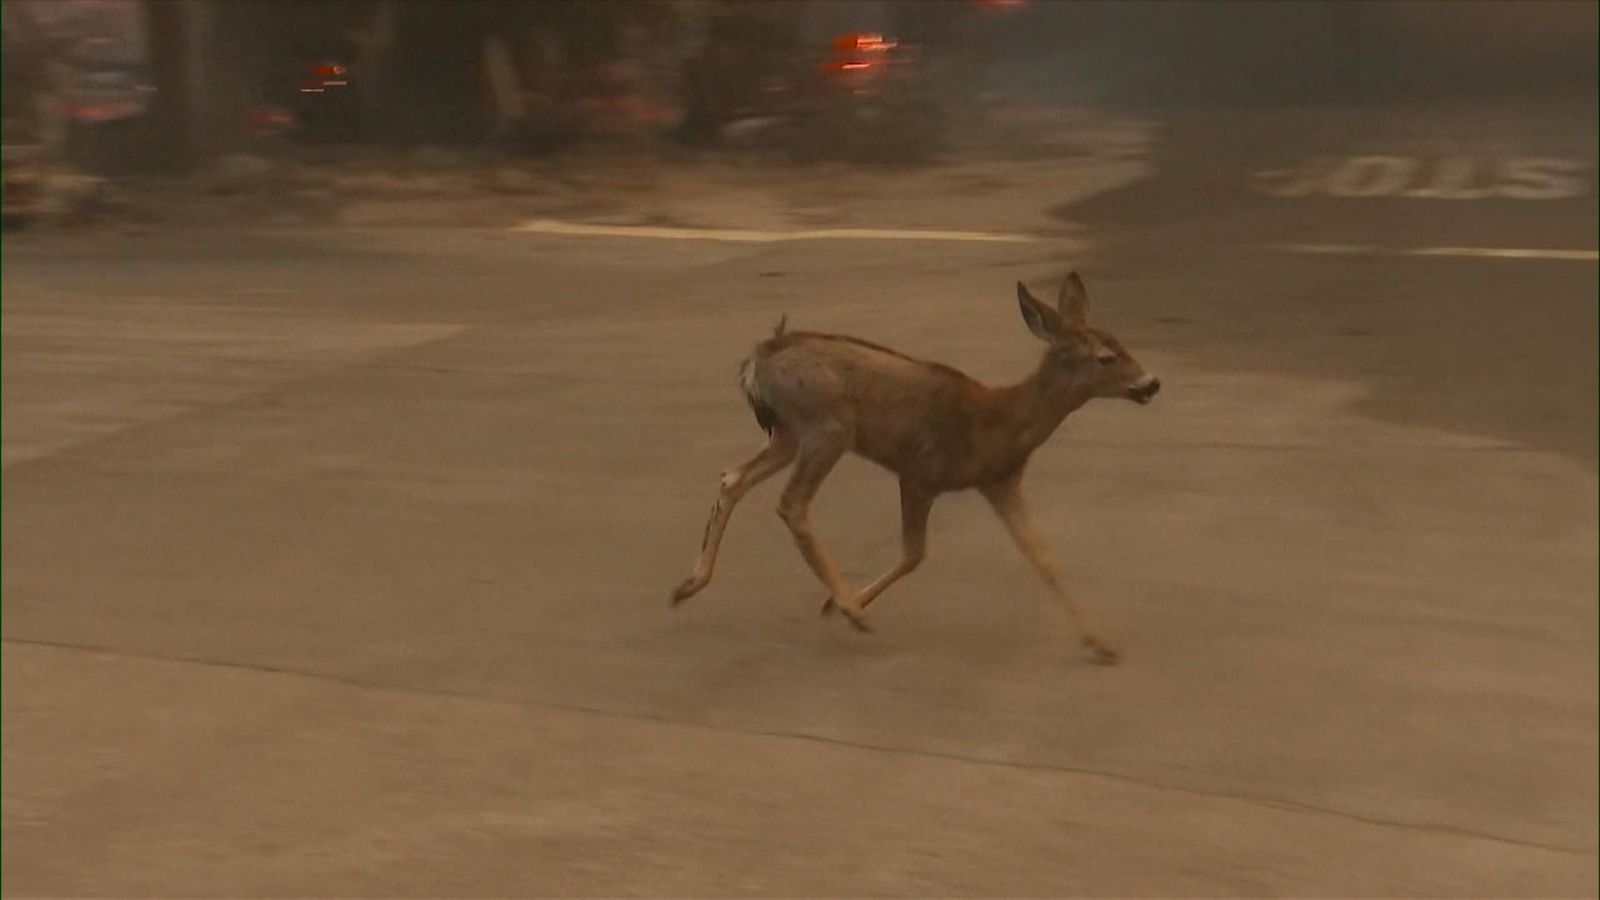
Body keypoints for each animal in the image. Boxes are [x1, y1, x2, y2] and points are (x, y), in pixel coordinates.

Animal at [669, 271, 1160, 665]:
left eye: (1122, 343)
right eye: (1104, 357)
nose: (1151, 382)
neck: (1000, 422)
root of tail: (757, 359)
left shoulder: (1000, 481)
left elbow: (1044, 557)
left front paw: (1102, 643)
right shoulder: (920, 472)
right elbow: (914, 552)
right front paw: (841, 605)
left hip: (790, 431)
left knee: (733, 477)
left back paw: (689, 584)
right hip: (828, 424)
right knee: (791, 504)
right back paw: (853, 610)